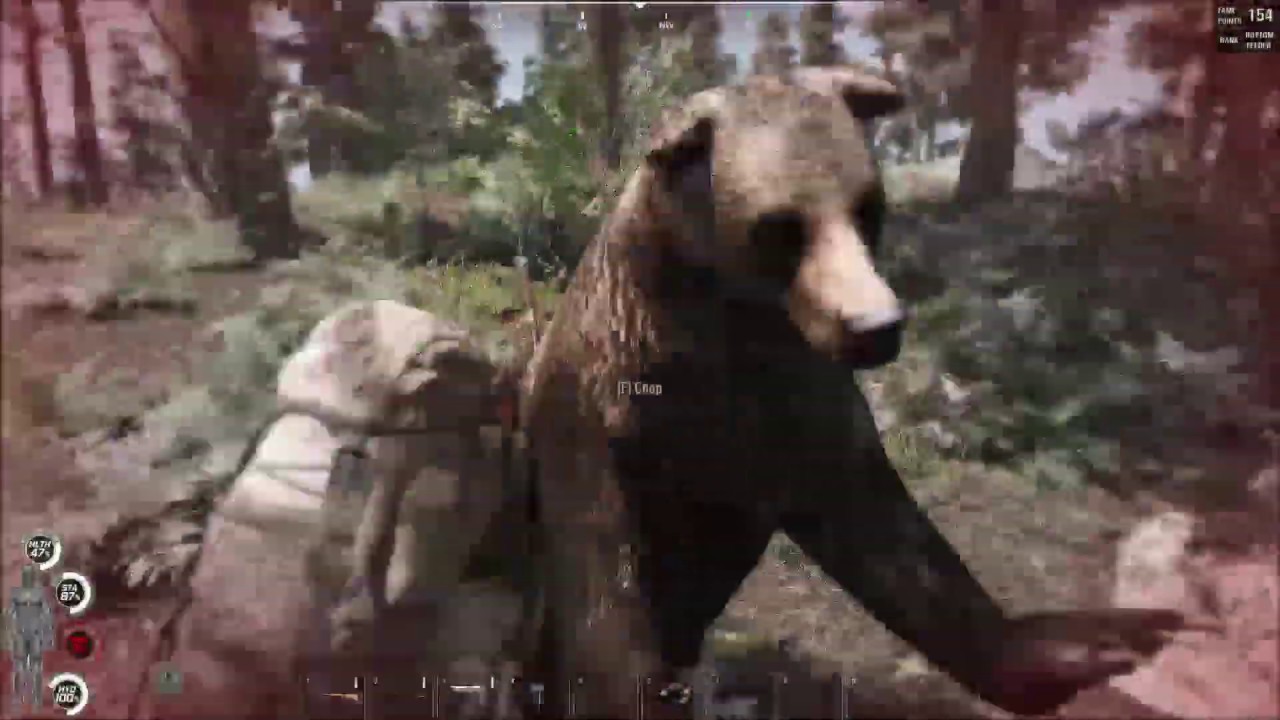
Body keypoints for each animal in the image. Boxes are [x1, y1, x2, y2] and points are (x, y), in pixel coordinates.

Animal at [518, 66, 1187, 719]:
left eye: (869, 209)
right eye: (780, 227)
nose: (876, 326)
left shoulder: (802, 419)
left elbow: (898, 549)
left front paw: (1101, 641)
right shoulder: (608, 419)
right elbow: (606, 601)